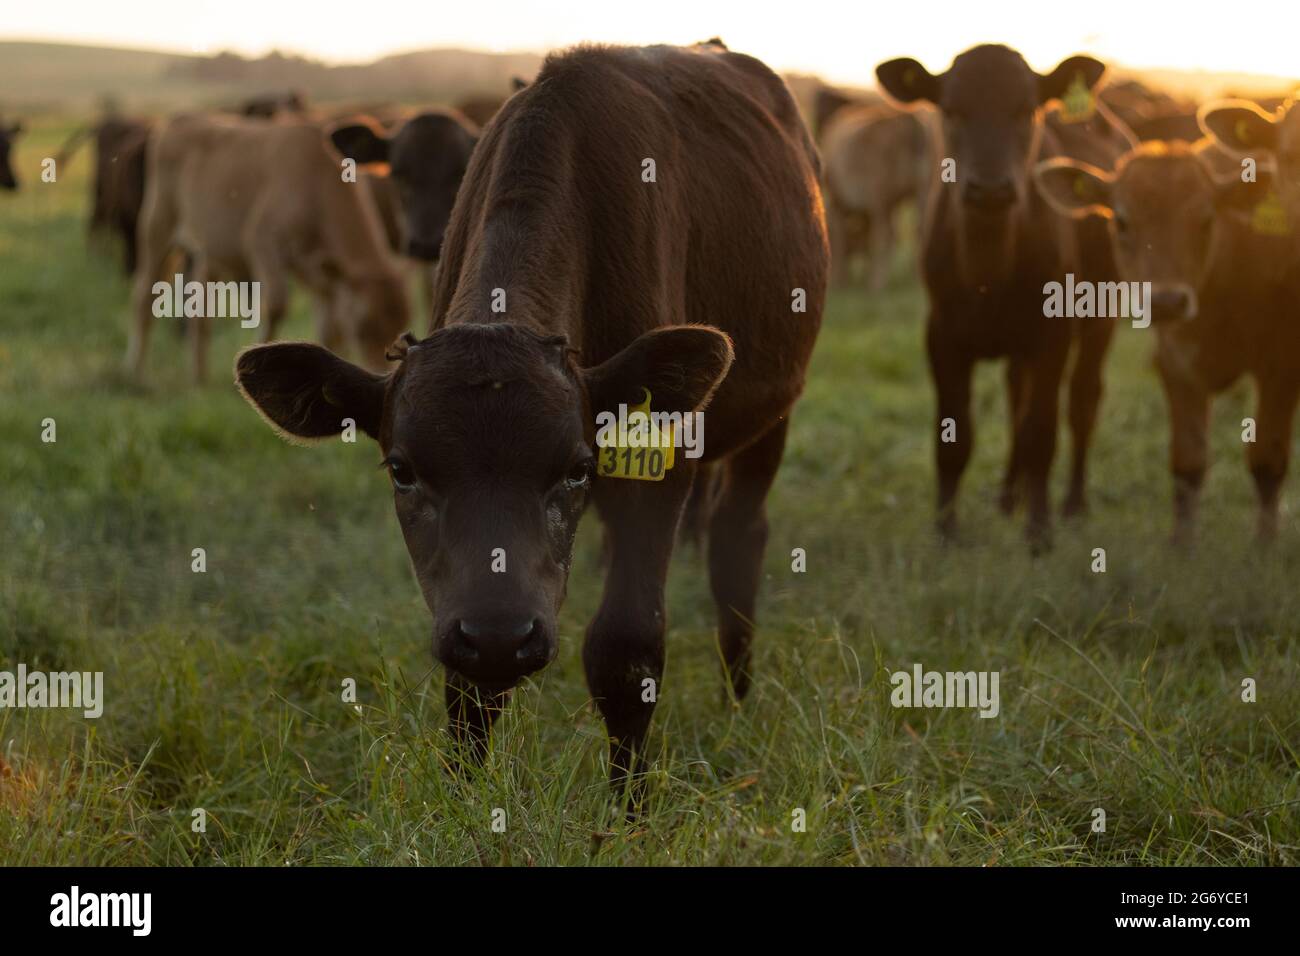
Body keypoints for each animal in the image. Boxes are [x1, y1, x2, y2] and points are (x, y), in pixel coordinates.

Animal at [130, 114, 409, 382]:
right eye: (363, 329)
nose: (382, 374)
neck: (315, 184)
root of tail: (177, 121)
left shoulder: (322, 279)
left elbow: (329, 329)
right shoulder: (263, 243)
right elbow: (276, 306)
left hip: (211, 251)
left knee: (201, 309)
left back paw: (199, 377)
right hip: (157, 227)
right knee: (145, 294)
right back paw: (137, 373)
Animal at [875, 44, 1133, 549]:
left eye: (1025, 110)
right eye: (951, 110)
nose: (990, 189)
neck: (987, 273)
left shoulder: (1053, 334)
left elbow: (1042, 432)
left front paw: (1040, 533)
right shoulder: (941, 334)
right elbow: (954, 436)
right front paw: (945, 531)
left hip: (1103, 314)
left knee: (1082, 400)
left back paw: (1073, 503)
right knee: (1017, 397)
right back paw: (1008, 497)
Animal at [1035, 139, 1300, 542]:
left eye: (1206, 219)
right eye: (1121, 220)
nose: (1166, 300)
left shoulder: (1279, 366)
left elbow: (1268, 460)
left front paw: (1264, 544)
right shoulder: (1176, 362)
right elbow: (1187, 462)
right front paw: (1182, 545)